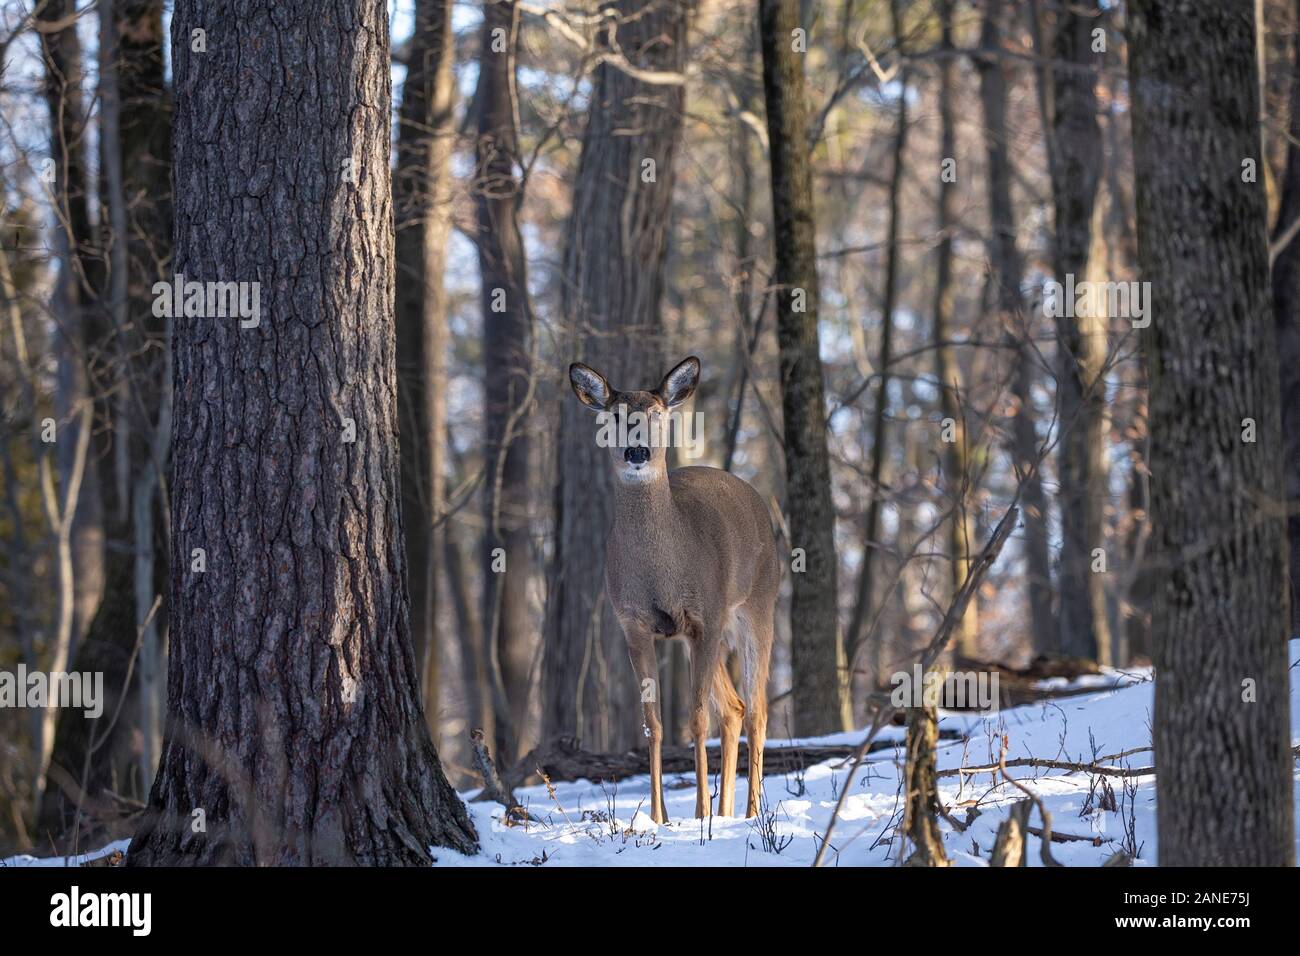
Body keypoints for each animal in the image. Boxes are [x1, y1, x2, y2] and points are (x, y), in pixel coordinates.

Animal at [568, 355, 780, 823]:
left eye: (657, 414)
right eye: (614, 415)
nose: (637, 452)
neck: (661, 570)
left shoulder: (706, 616)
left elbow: (697, 718)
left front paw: (699, 812)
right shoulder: (635, 625)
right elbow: (654, 724)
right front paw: (659, 817)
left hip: (756, 604)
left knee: (757, 710)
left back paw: (750, 812)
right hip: (700, 634)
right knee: (734, 708)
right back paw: (727, 809)